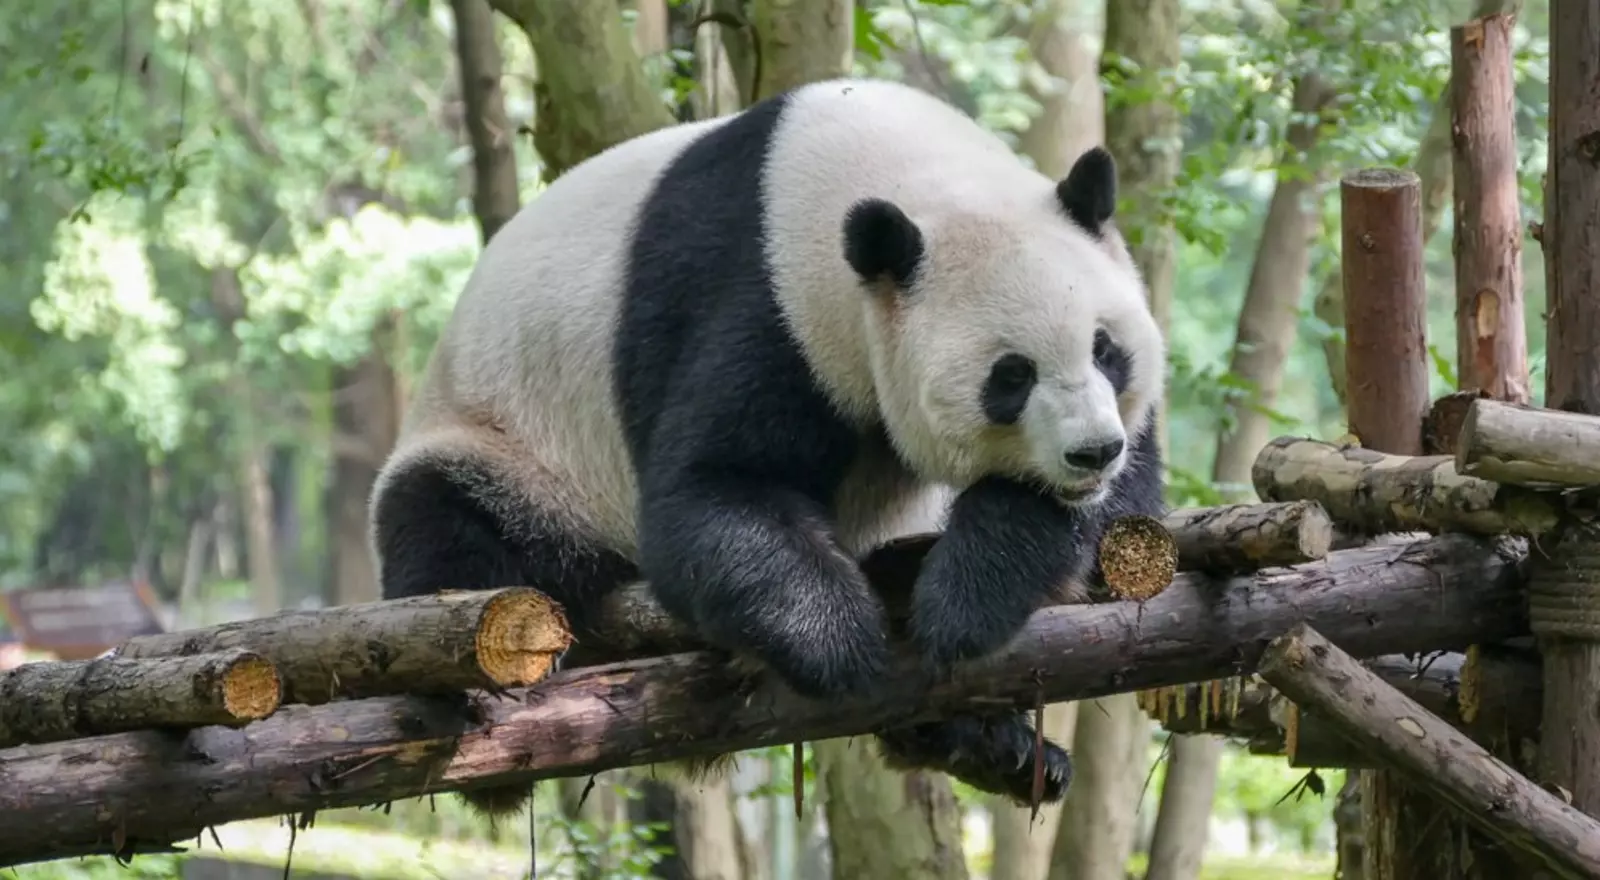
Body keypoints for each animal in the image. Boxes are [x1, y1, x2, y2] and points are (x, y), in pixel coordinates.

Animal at [369, 77, 1167, 819]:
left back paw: (996, 745)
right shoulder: (768, 300)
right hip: (508, 445)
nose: (1092, 452)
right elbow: (715, 488)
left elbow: (1114, 512)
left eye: (1106, 350)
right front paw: (846, 646)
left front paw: (964, 600)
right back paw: (476, 704)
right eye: (1011, 376)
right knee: (452, 531)